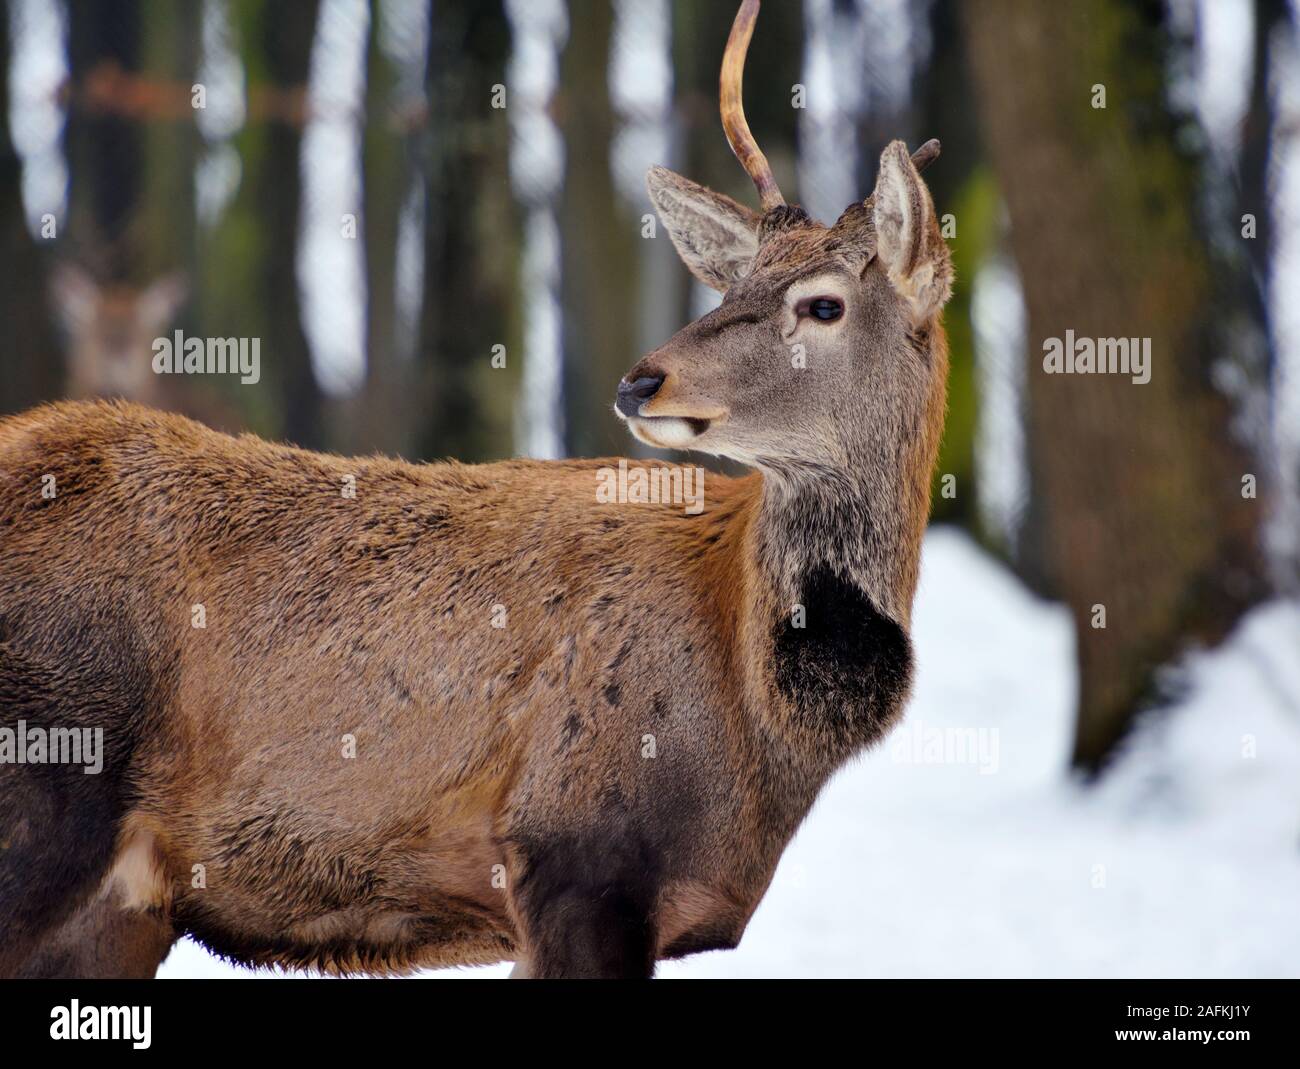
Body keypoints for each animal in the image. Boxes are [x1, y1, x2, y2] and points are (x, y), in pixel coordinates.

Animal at [0, 0, 951, 979]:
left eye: (824, 303)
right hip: (41, 787)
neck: (754, 727)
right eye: (731, 285)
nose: (642, 381)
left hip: (122, 905)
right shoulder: (575, 846)